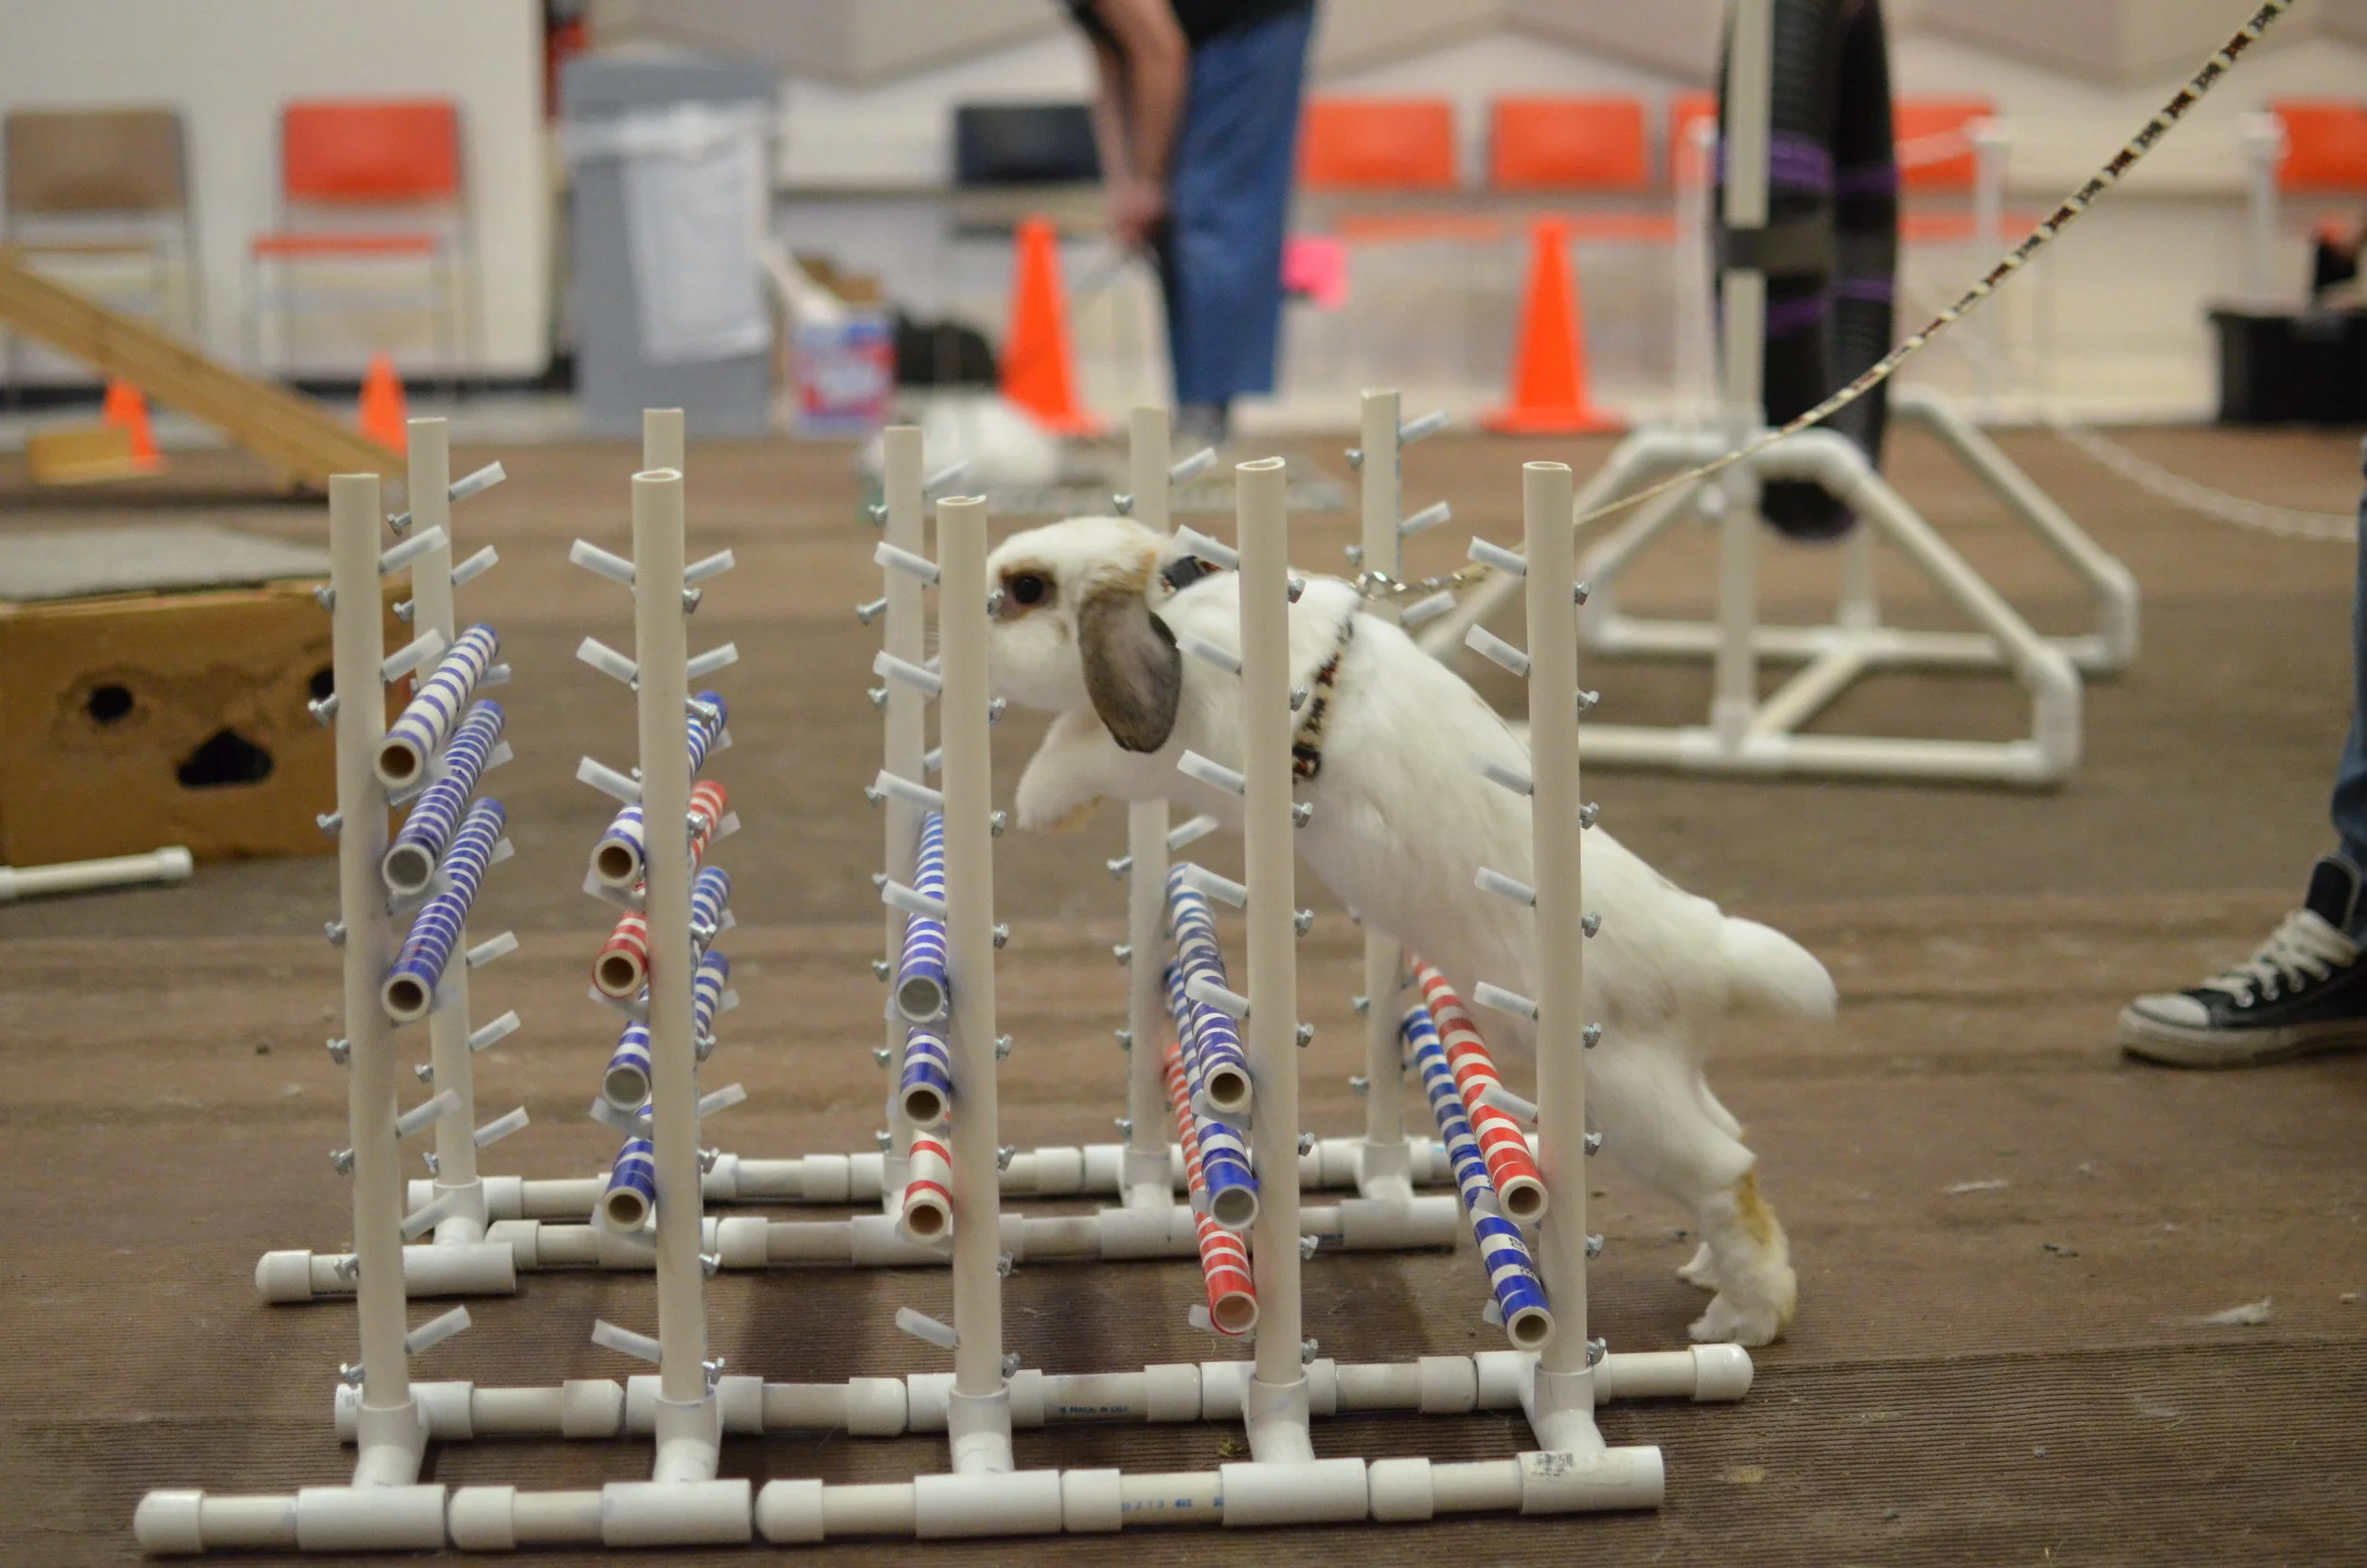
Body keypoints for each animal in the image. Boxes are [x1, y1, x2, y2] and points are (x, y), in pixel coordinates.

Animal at [983, 514, 1837, 1347]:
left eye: (1026, 589)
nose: (982, 613)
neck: (1171, 593)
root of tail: (1712, 953)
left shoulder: (1180, 754)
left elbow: (1080, 748)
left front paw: (1040, 803)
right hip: (1667, 1082)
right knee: (1734, 1140)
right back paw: (1707, 1274)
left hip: (1632, 1103)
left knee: (1728, 1177)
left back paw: (1745, 1318)